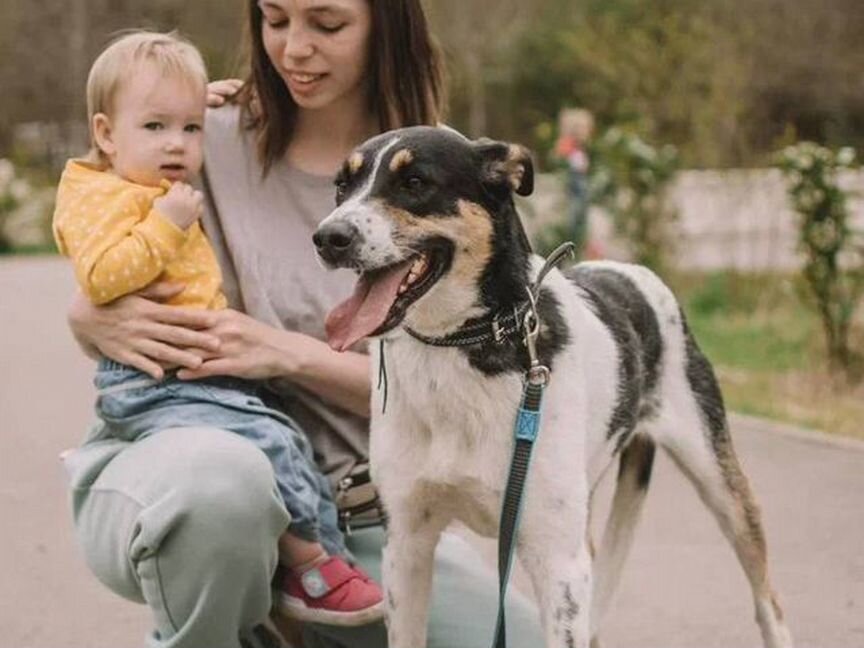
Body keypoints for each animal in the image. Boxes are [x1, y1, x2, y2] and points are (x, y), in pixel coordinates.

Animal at [314, 126, 792, 648]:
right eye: (341, 186)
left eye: (415, 182)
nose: (328, 238)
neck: (463, 344)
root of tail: (634, 271)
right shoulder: (407, 546)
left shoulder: (557, 562)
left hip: (720, 484)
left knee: (768, 601)